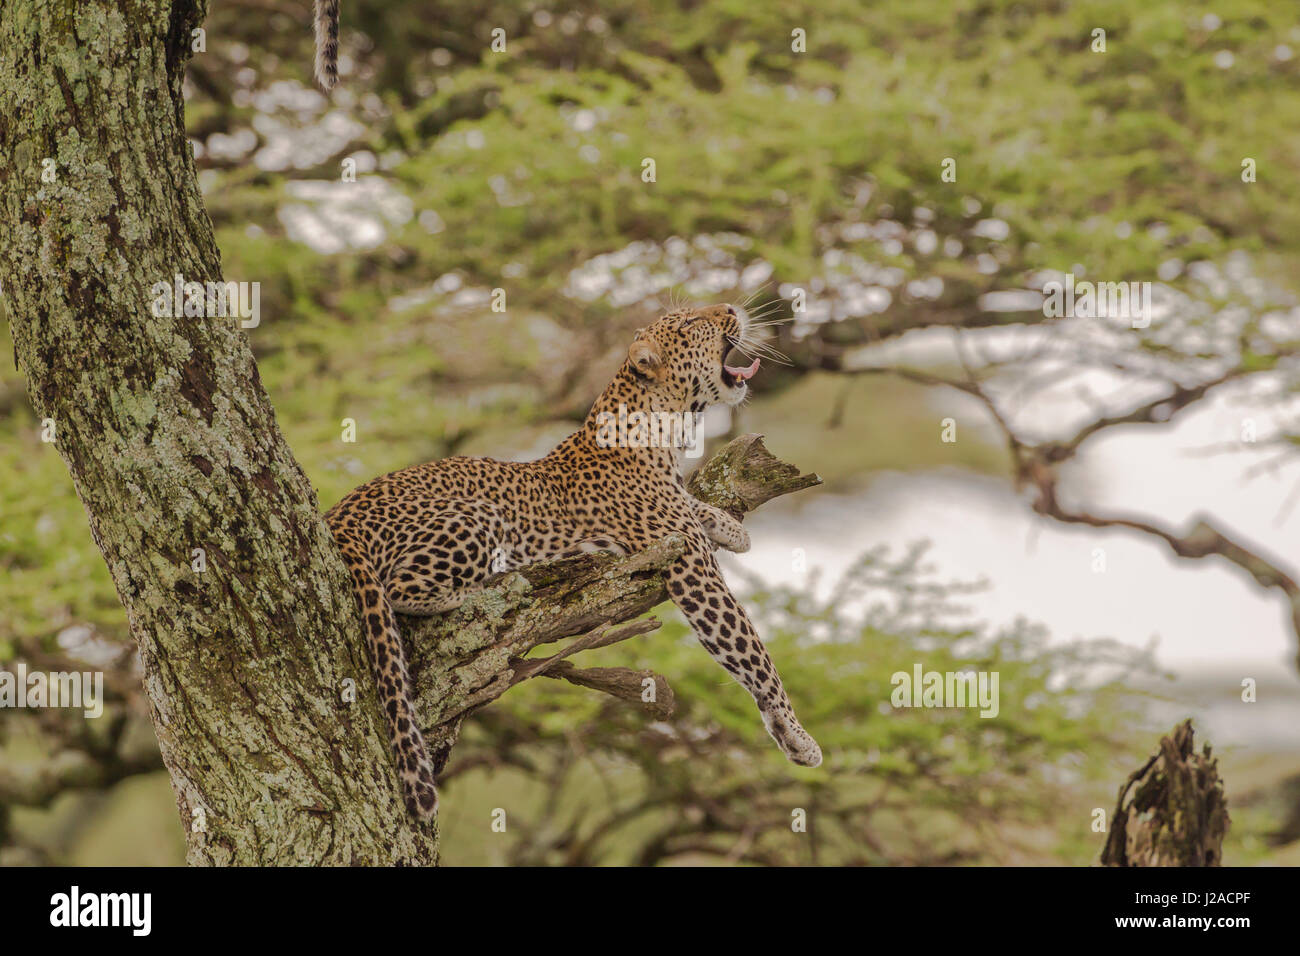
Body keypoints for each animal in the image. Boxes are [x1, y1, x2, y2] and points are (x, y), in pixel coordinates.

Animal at [325, 303, 823, 819]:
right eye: (689, 324)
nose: (729, 308)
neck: (664, 428)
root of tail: (339, 514)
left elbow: (696, 503)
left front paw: (732, 527)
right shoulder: (692, 567)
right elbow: (752, 653)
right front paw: (796, 735)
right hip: (479, 516)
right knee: (403, 591)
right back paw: (494, 588)